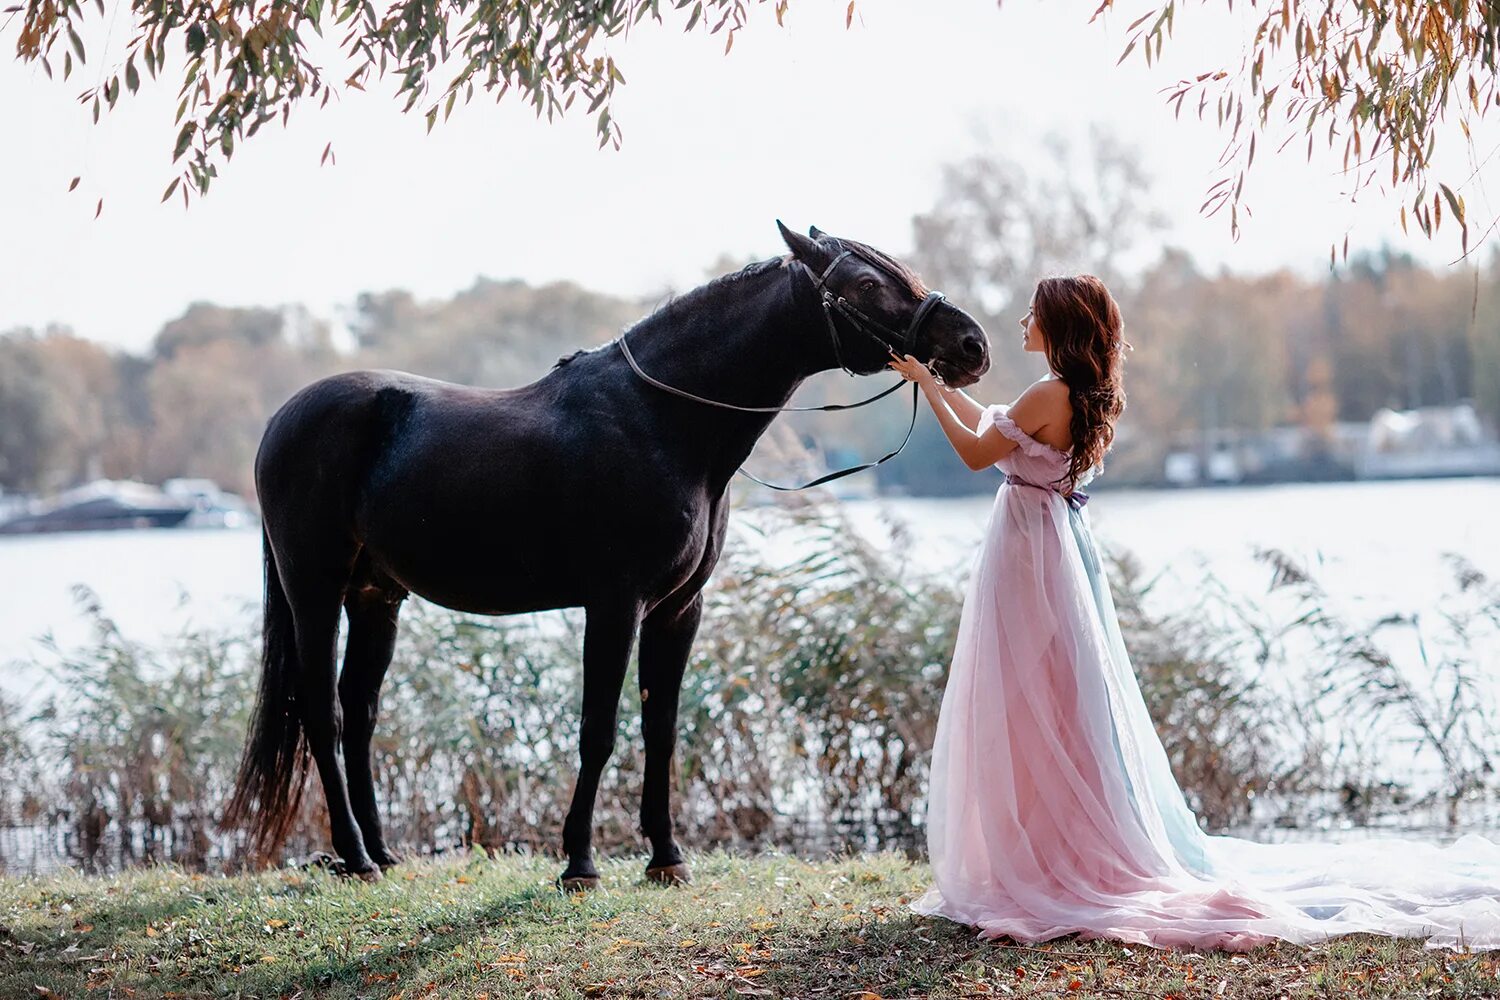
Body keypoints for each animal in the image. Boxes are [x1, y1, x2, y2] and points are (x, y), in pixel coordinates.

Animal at [222, 223, 990, 887]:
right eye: (866, 282)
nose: (972, 344)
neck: (663, 422)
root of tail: (281, 421)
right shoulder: (615, 604)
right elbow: (599, 730)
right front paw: (580, 865)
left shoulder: (679, 611)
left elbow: (662, 729)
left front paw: (667, 857)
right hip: (314, 589)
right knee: (322, 711)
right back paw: (356, 857)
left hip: (376, 596)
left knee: (361, 711)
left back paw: (382, 850)